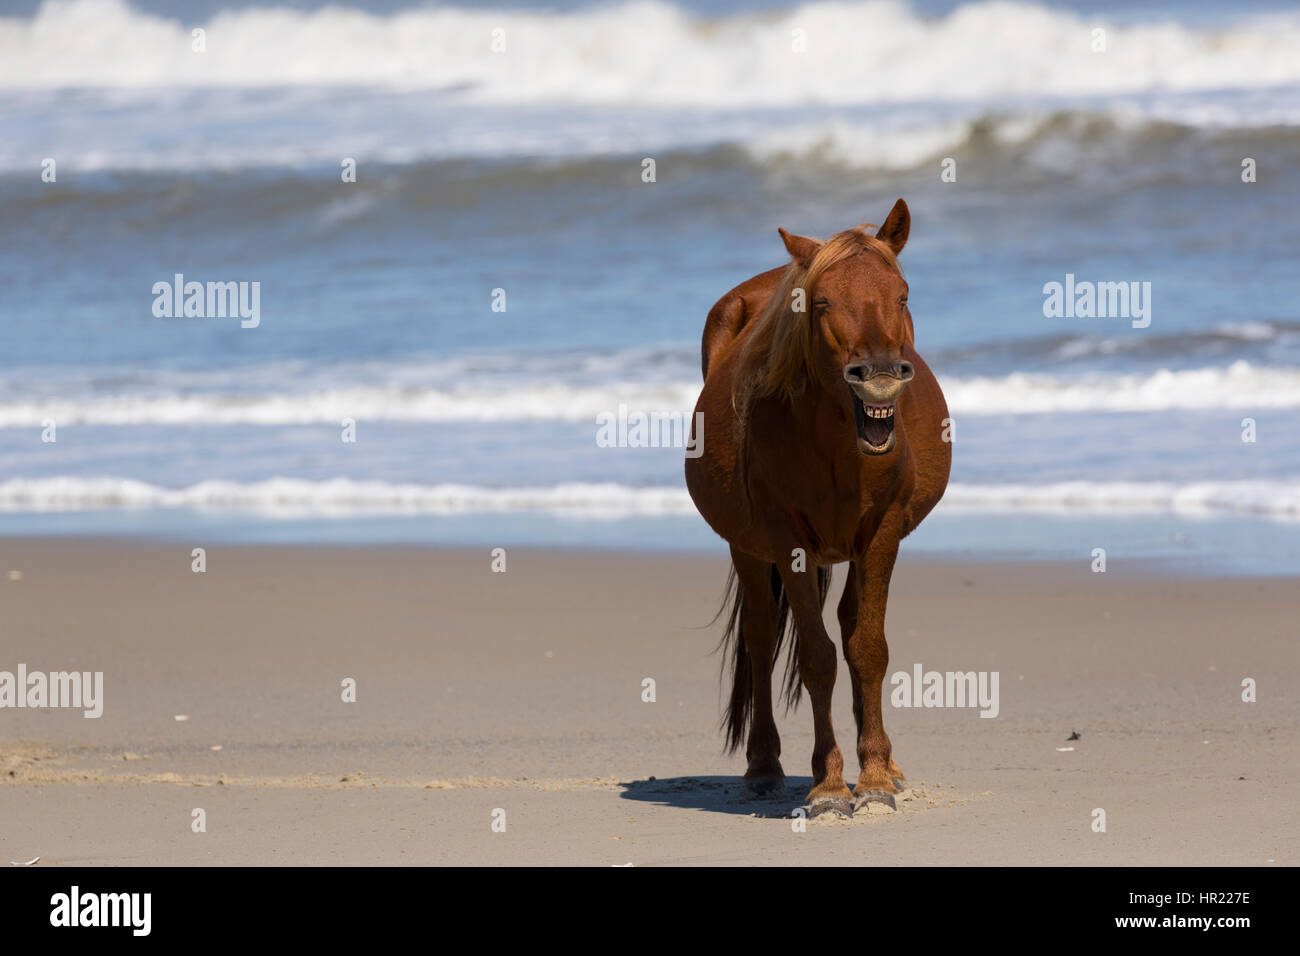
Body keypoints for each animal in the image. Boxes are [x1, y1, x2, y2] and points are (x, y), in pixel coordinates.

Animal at [684, 199, 951, 817]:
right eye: (822, 302)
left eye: (902, 295)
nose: (879, 376)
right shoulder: (789, 540)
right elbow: (816, 657)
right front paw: (829, 787)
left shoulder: (881, 533)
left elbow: (867, 649)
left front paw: (874, 778)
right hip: (746, 546)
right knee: (761, 638)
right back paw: (763, 766)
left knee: (852, 626)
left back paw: (888, 765)